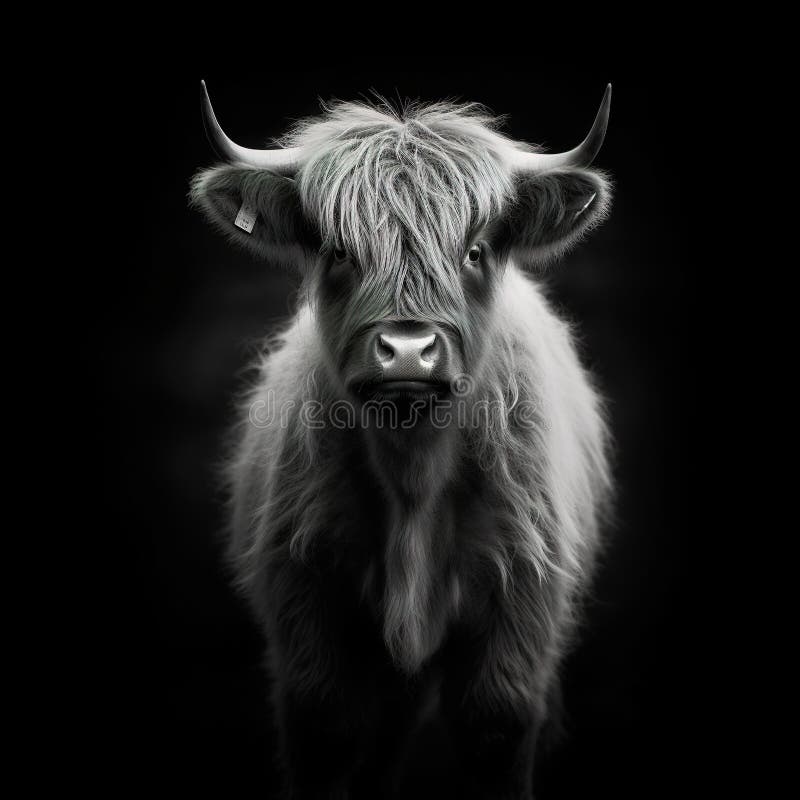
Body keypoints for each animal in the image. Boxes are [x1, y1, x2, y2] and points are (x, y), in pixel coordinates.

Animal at [190, 81, 614, 799]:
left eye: (474, 250)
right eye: (338, 251)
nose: (408, 351)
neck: (413, 483)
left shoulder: (521, 606)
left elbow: (497, 726)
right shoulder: (307, 611)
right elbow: (328, 732)